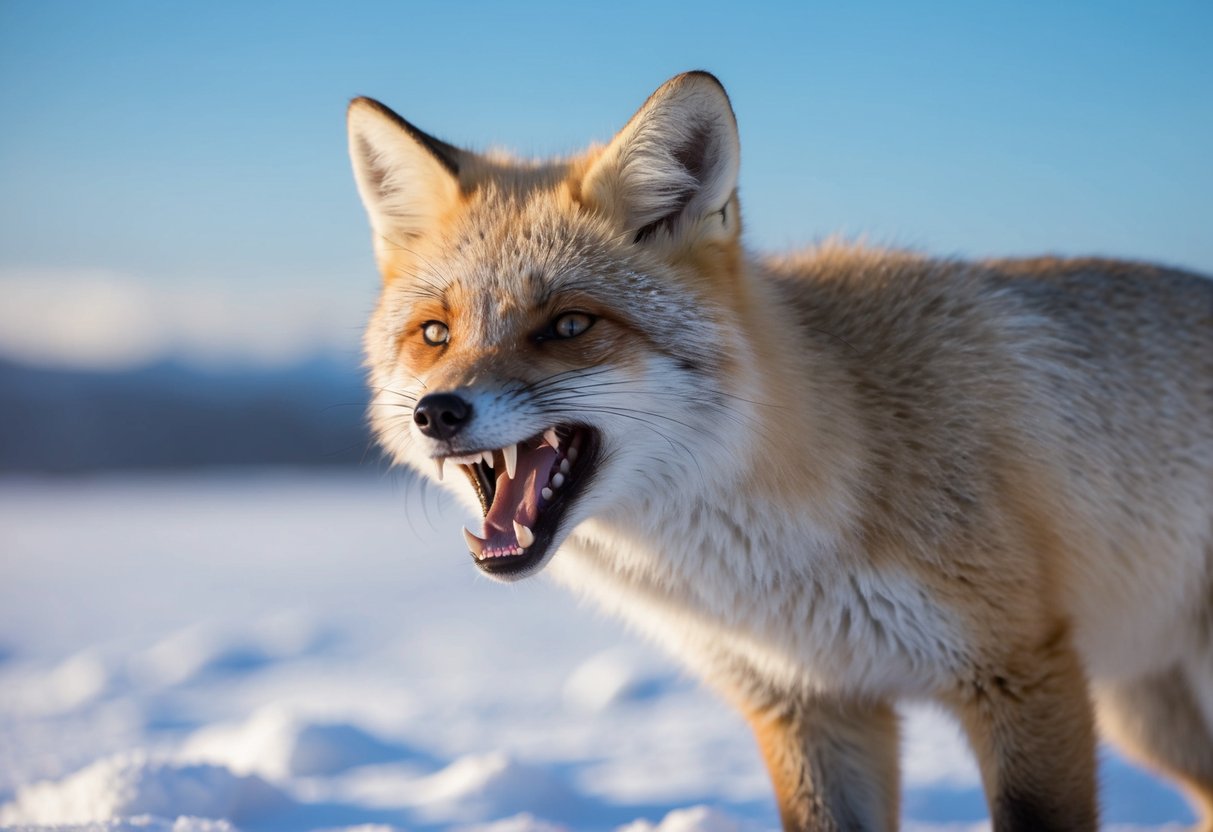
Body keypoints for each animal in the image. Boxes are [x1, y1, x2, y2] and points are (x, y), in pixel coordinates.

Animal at [345, 71, 1213, 831]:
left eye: (567, 325)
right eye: (435, 334)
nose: (437, 413)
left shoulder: (1021, 669)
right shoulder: (811, 706)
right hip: (1146, 714)